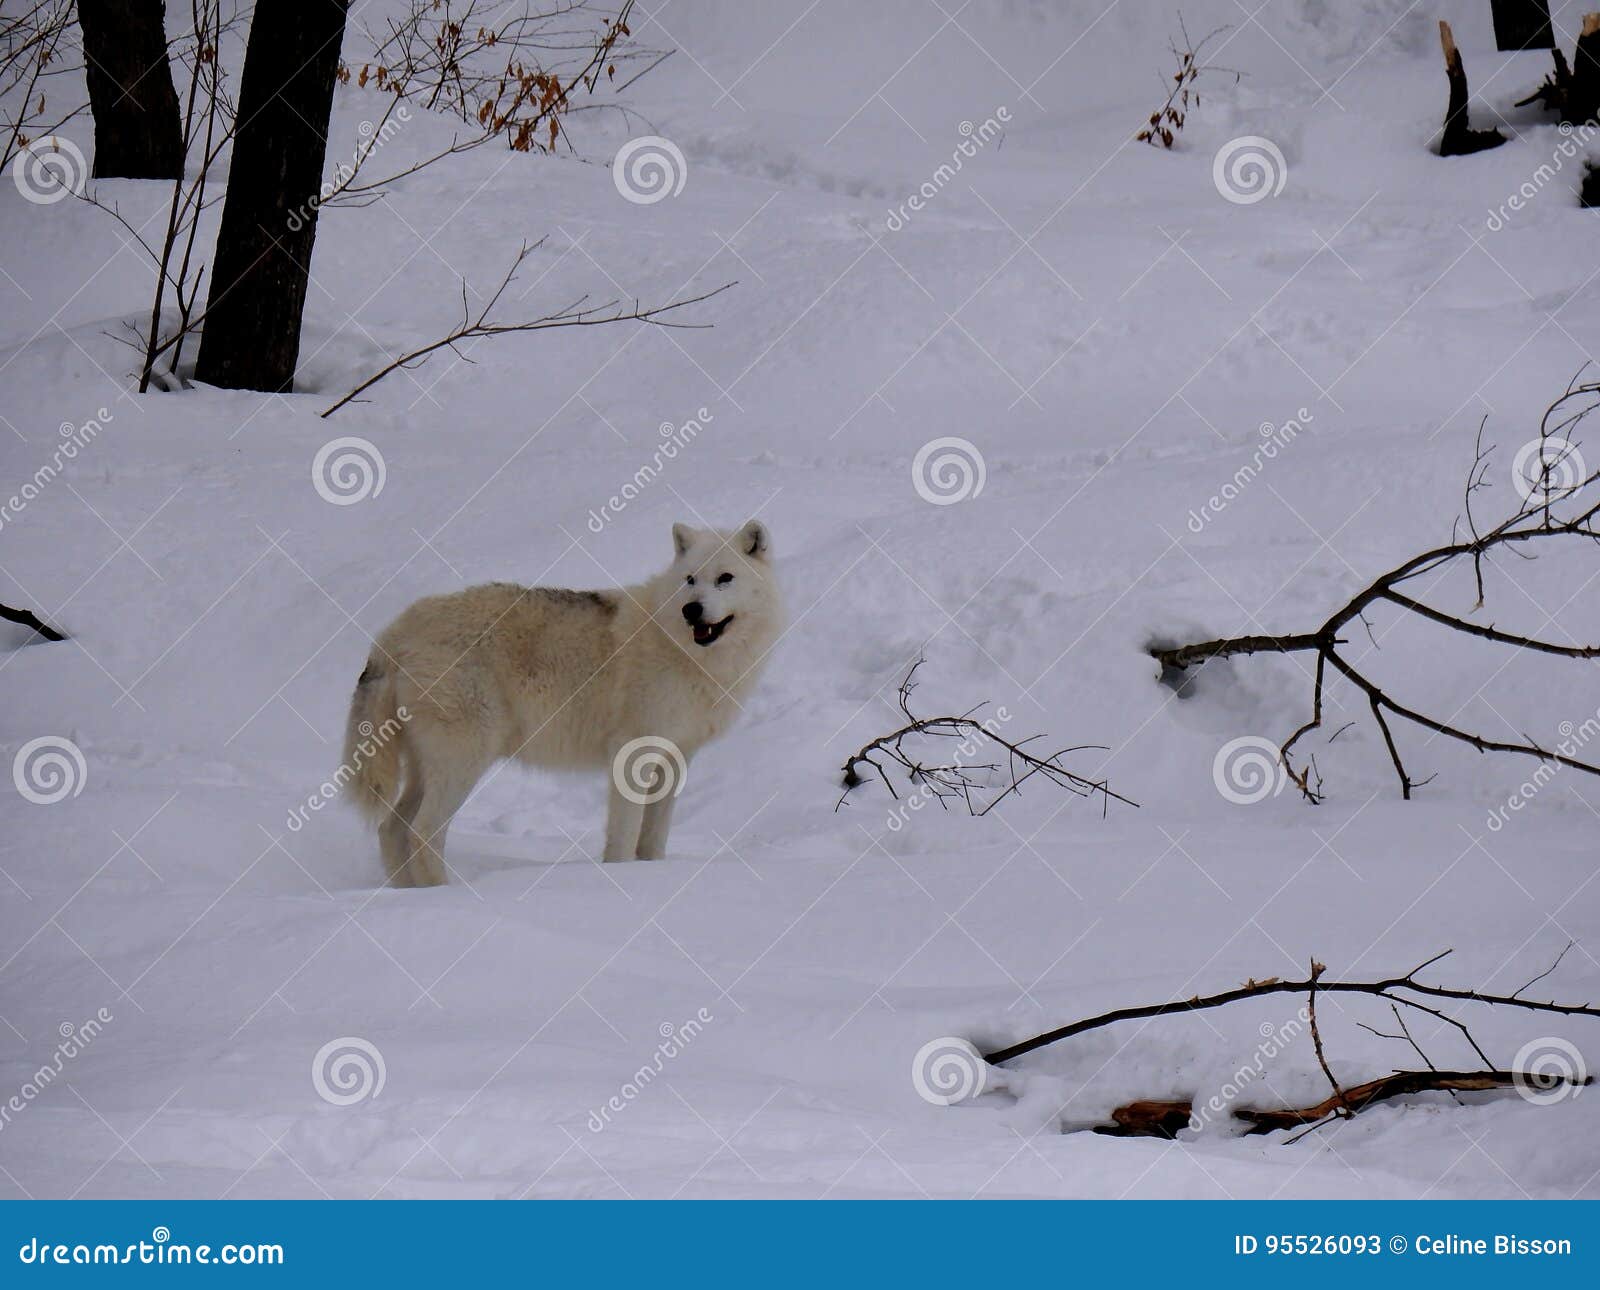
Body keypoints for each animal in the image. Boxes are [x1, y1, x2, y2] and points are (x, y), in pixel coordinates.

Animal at [343, 520, 780, 886]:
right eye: (689, 580)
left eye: (725, 579)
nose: (692, 610)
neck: (687, 653)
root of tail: (392, 635)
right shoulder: (630, 752)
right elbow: (624, 835)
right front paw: (622, 877)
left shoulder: (675, 756)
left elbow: (654, 838)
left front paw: (652, 874)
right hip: (462, 761)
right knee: (422, 832)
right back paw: (443, 893)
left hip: (427, 766)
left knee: (391, 827)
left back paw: (406, 894)